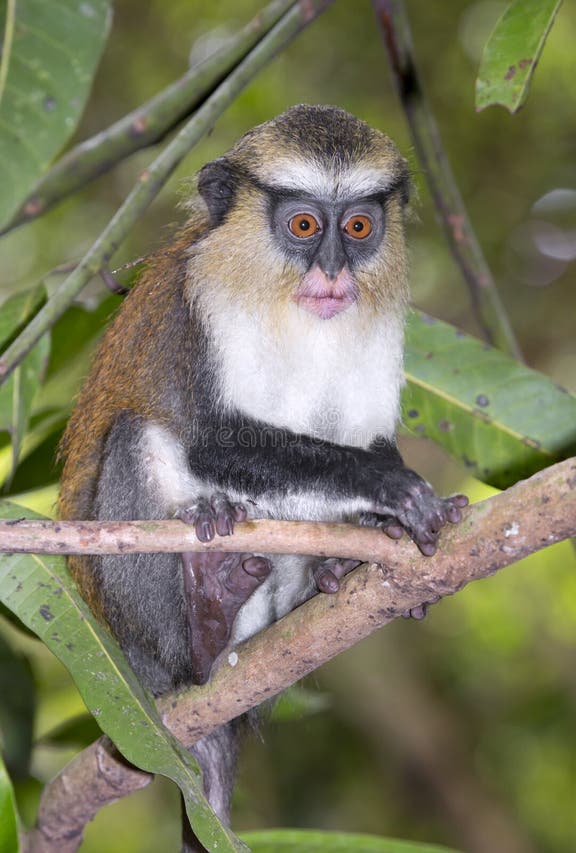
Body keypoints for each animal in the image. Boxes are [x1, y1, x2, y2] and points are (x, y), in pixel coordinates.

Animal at [58, 104, 467, 851]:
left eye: (358, 227)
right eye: (303, 225)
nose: (334, 272)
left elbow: (366, 438)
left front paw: (386, 520)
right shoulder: (198, 304)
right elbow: (216, 441)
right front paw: (392, 491)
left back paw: (331, 575)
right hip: (137, 647)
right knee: (133, 437)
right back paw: (205, 632)